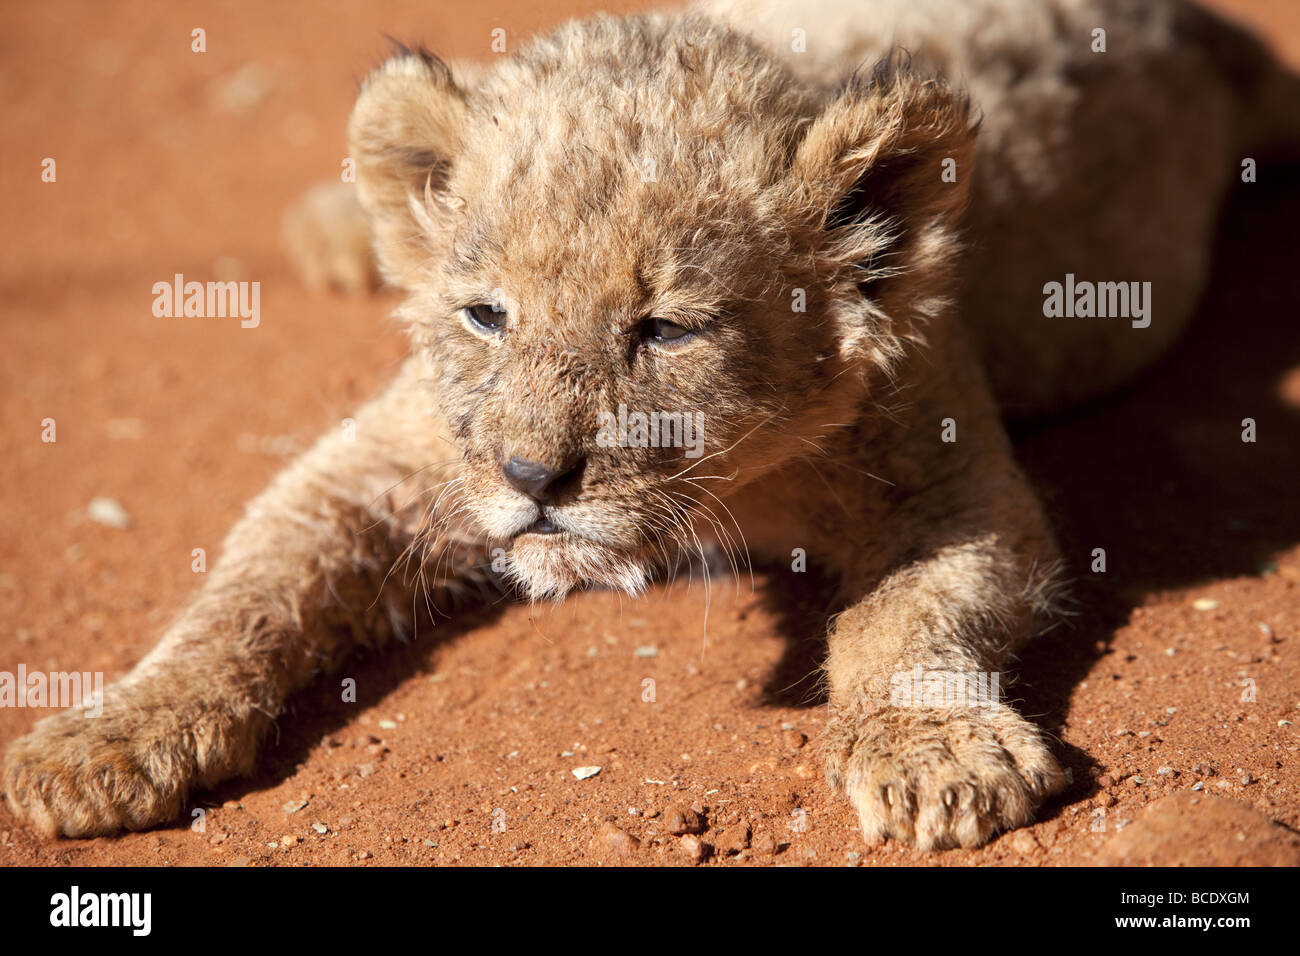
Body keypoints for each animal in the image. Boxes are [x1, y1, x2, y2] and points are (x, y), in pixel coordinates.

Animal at [5, 0, 1296, 850]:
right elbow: (247, 588)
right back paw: (345, 218)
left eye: (664, 329)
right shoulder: (387, 460)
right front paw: (104, 742)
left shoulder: (951, 483)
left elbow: (905, 612)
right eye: (486, 314)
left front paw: (930, 752)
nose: (533, 474)